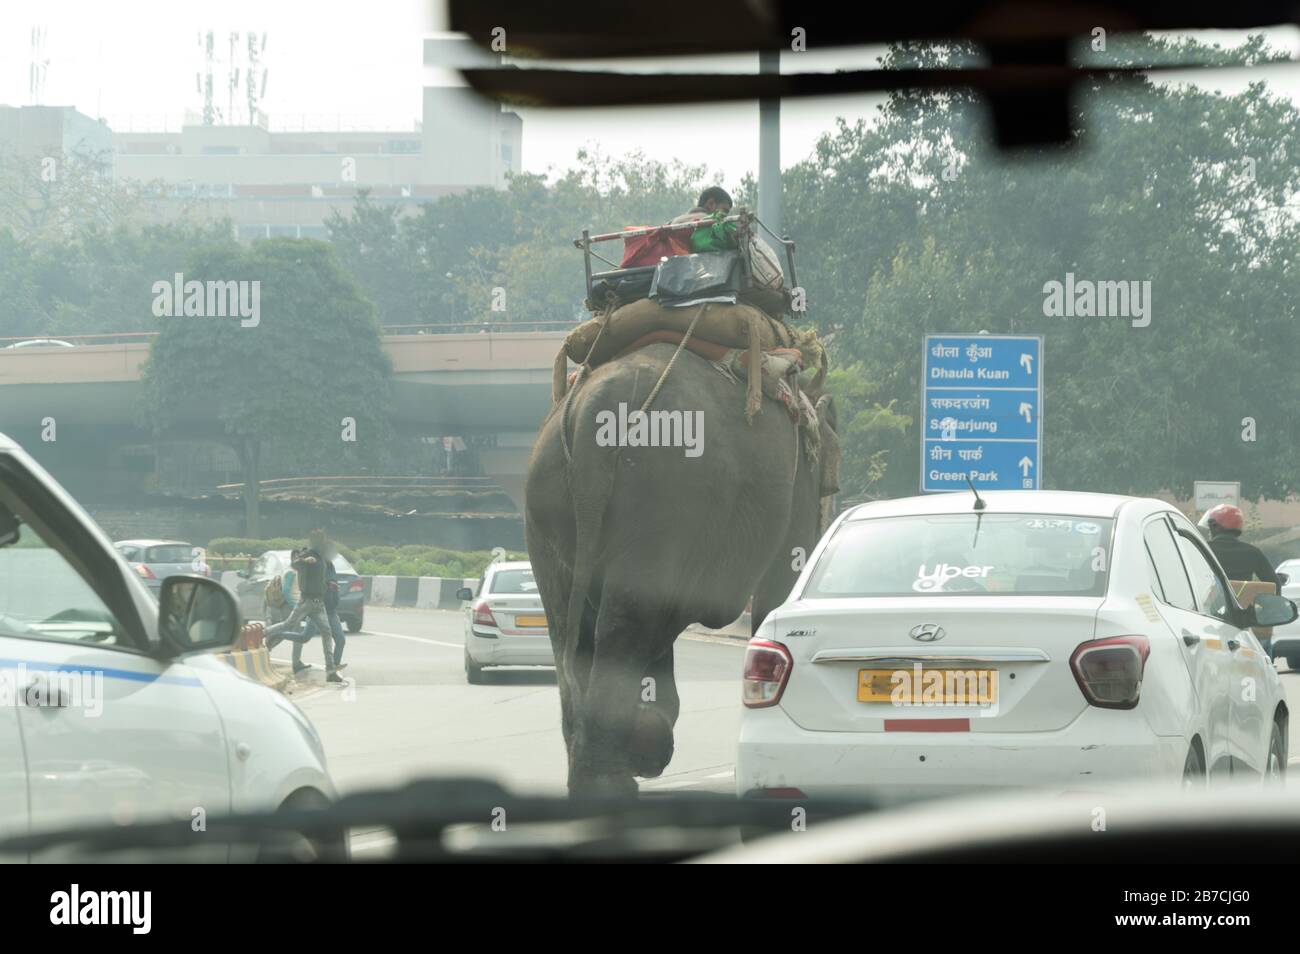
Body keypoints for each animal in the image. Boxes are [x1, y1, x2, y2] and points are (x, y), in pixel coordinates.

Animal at [524, 340, 837, 795]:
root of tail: (590, 409)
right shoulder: (797, 490)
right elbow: (780, 587)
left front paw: (649, 742)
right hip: (663, 493)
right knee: (625, 618)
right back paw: (609, 782)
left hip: (545, 500)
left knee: (567, 623)